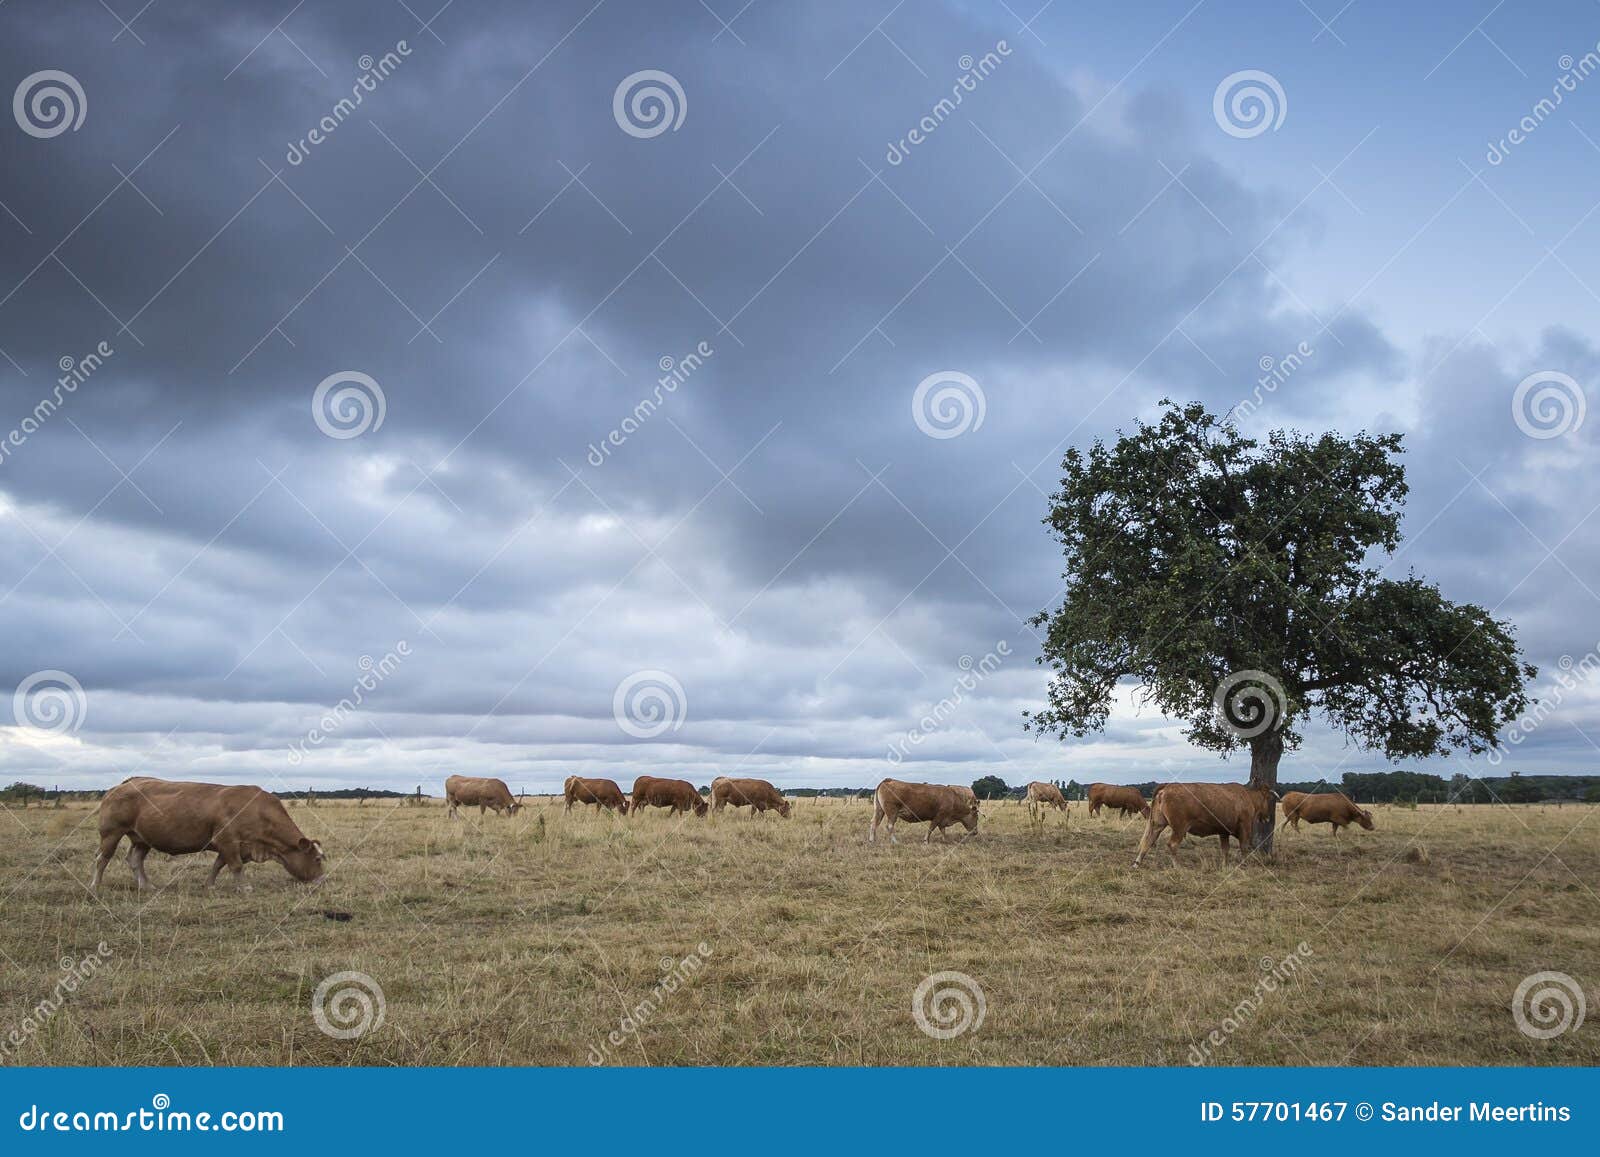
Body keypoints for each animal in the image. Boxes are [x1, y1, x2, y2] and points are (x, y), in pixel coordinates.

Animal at [91, 777, 325, 891]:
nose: (322, 880)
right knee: (102, 859)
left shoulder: (231, 846)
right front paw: (245, 887)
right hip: (111, 834)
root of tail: (124, 784)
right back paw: (96, 885)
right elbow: (235, 866)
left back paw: (146, 886)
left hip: (142, 839)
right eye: (316, 859)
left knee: (135, 860)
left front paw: (209, 885)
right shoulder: (228, 842)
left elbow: (218, 865)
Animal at [1134, 782, 1277, 868]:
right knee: (1172, 844)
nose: (1268, 817)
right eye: (1269, 800)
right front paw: (1243, 865)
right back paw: (1178, 867)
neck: (1247, 797)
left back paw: (1137, 862)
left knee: (1149, 840)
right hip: (1180, 828)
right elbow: (1244, 847)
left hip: (1157, 824)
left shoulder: (1223, 831)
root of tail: (1167, 786)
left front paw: (1225, 865)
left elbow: (1225, 849)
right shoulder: (1245, 827)